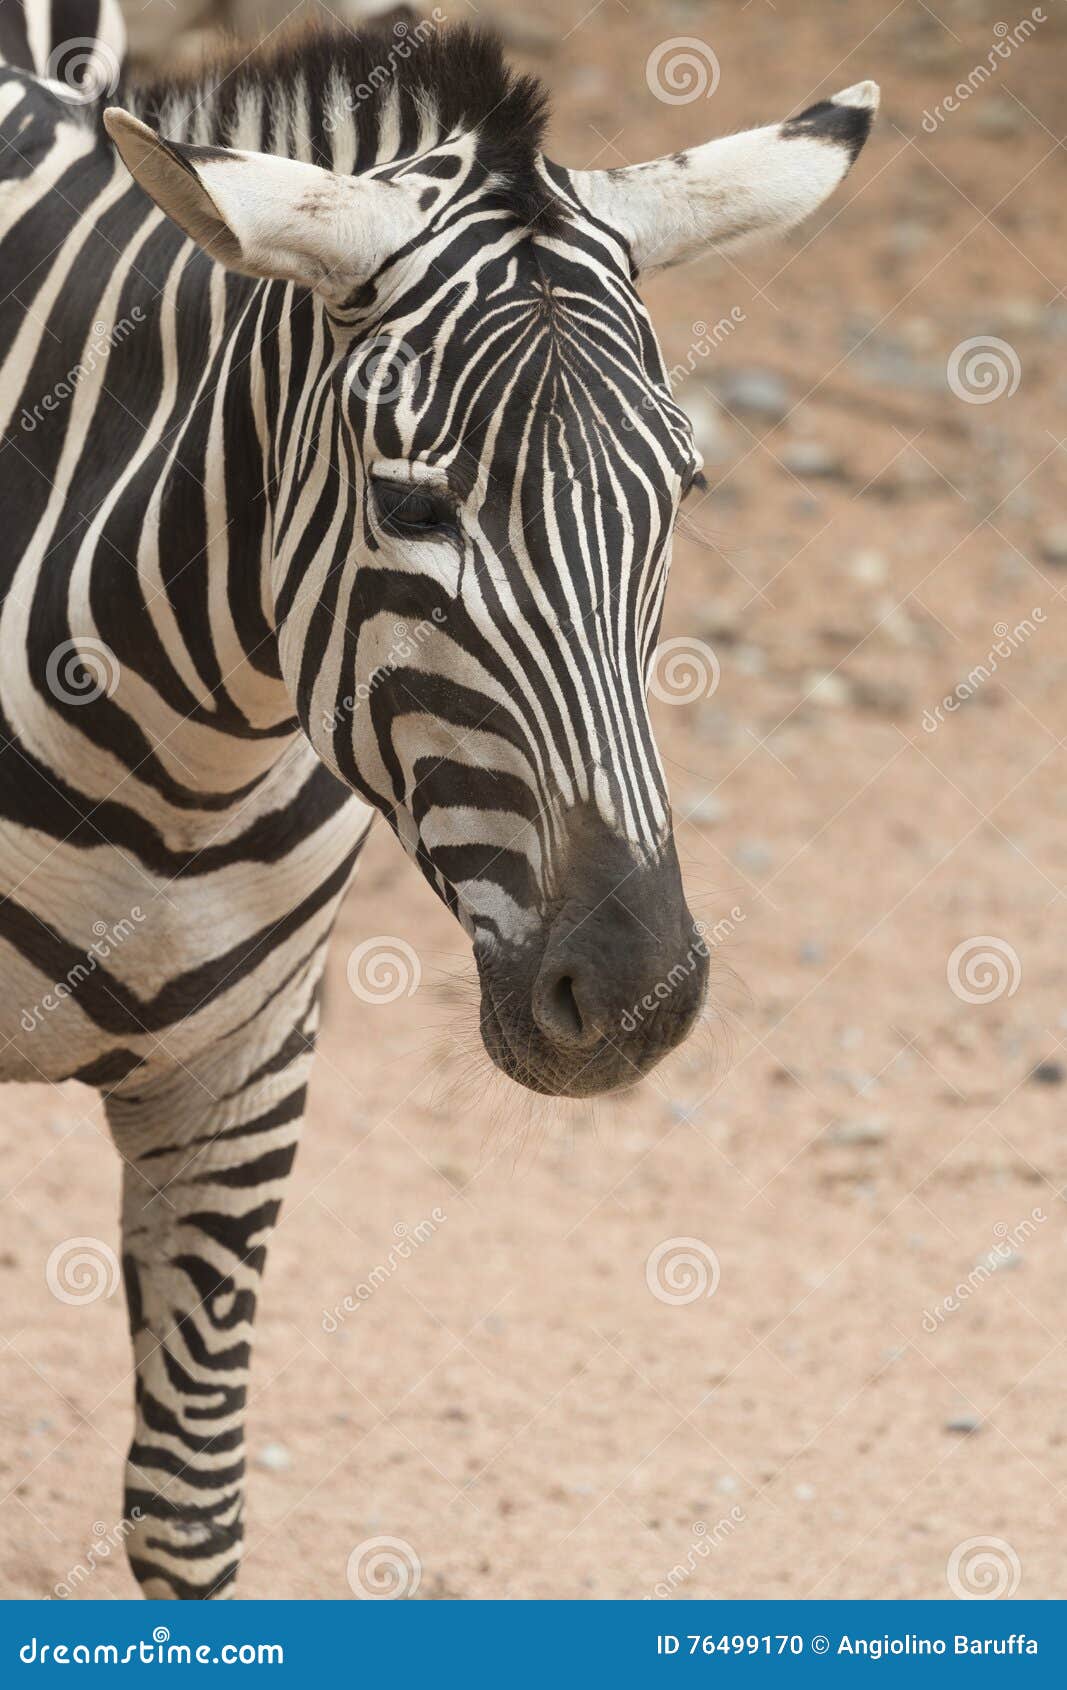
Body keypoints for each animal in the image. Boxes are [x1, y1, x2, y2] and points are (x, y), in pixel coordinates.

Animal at [0, 0, 878, 1598]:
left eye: (682, 492)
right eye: (412, 507)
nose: (636, 994)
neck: (171, 749)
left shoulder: (246, 1068)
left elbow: (187, 1511)